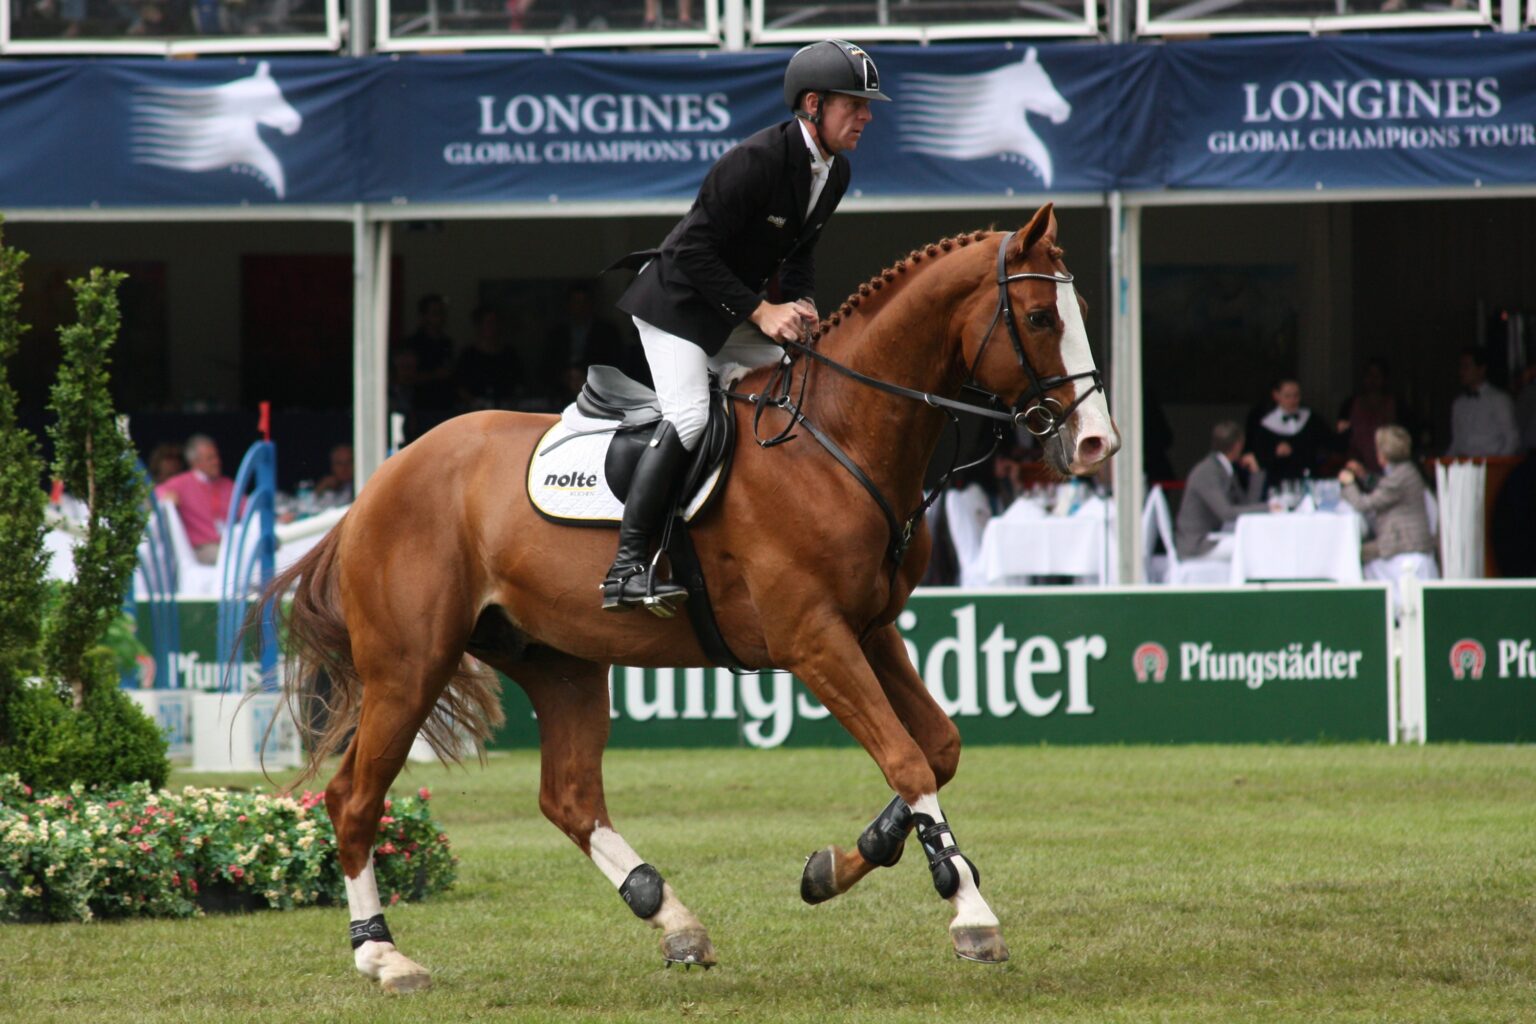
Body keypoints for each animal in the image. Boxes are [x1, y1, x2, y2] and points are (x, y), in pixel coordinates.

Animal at [266, 202, 1119, 993]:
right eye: (1040, 318)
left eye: (1075, 308)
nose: (1097, 444)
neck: (836, 438)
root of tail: (378, 482)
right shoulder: (814, 639)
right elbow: (907, 758)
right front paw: (970, 910)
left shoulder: (872, 629)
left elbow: (937, 749)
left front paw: (838, 866)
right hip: (411, 665)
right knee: (353, 798)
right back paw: (383, 955)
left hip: (560, 662)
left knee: (568, 797)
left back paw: (670, 916)